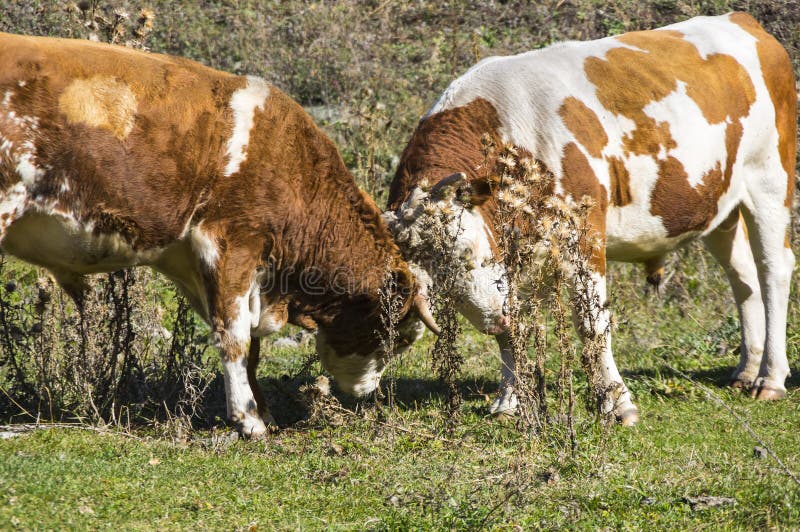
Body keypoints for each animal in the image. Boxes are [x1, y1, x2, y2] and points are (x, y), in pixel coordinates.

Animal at [0, 32, 438, 437]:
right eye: (398, 336)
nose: (368, 391)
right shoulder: (231, 242)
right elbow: (235, 336)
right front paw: (248, 419)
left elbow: (251, 345)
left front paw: (264, 412)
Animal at [384, 13, 796, 424]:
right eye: (435, 283)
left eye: (467, 249)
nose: (494, 318)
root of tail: (743, 20)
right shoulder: (516, 256)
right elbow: (513, 330)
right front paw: (508, 401)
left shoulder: (582, 233)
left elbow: (591, 322)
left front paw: (616, 403)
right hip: (719, 204)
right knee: (742, 277)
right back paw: (746, 371)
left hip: (769, 179)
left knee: (773, 269)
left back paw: (770, 378)